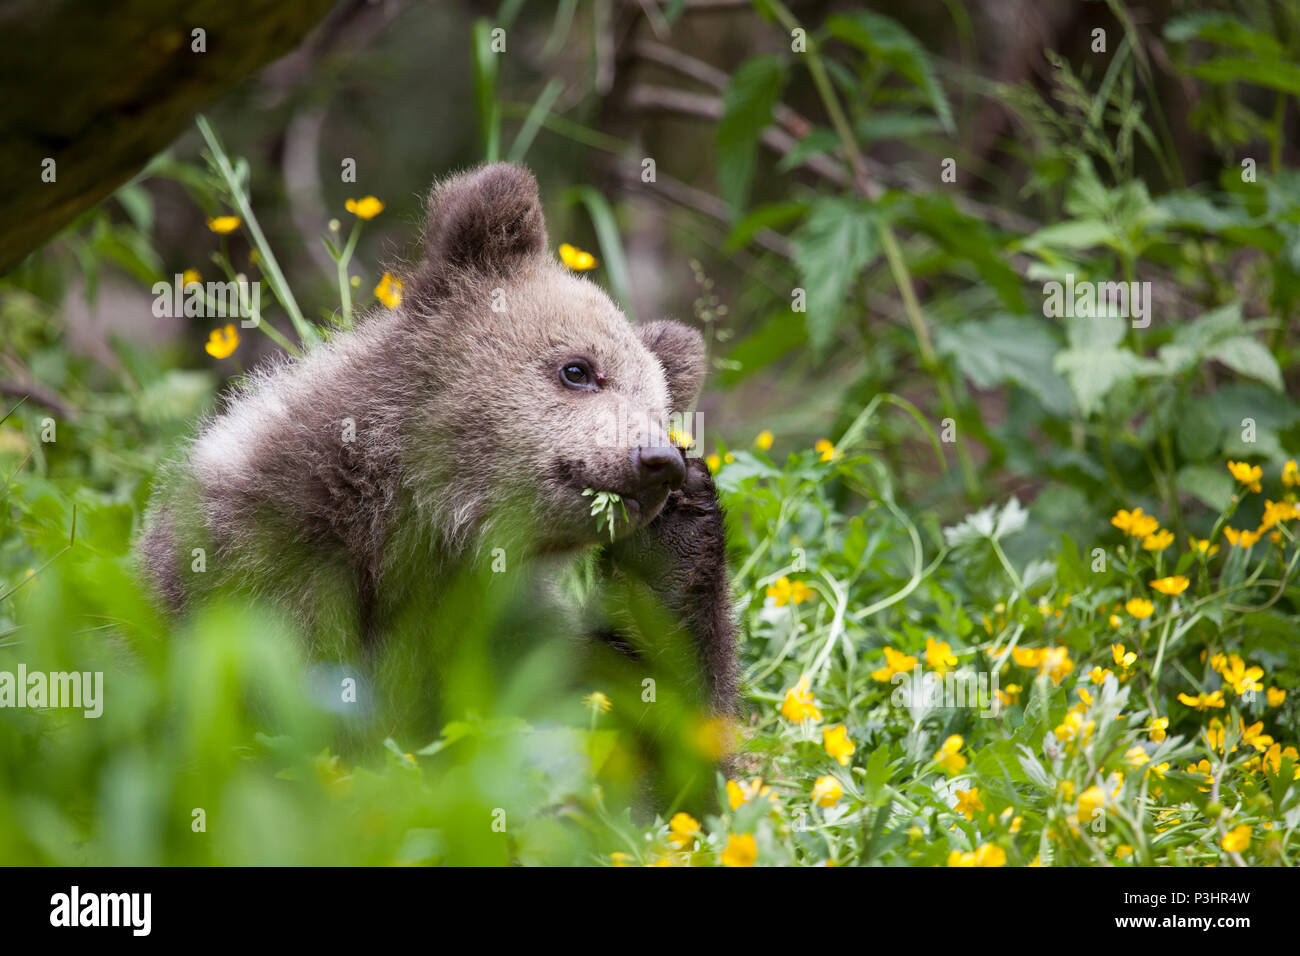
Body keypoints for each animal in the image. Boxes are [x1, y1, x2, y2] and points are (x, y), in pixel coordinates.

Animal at [138, 162, 739, 728]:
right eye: (579, 369)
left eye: (660, 412)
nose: (658, 462)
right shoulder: (250, 567)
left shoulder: (503, 638)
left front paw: (678, 535)